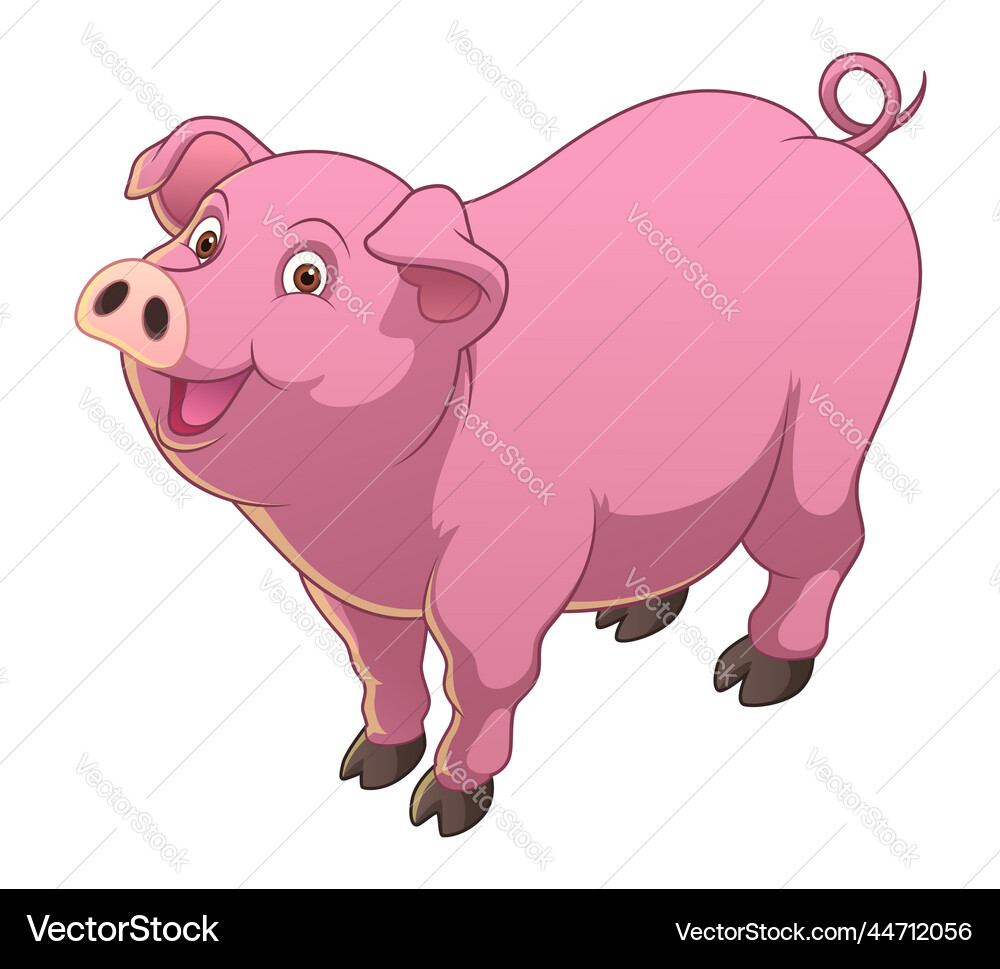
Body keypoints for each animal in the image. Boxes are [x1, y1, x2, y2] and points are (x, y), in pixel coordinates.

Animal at [76, 52, 924, 836]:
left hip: (835, 418)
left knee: (825, 540)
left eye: (309, 275)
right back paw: (629, 621)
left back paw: (751, 678)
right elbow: (378, 660)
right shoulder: (341, 582)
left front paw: (441, 811)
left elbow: (483, 674)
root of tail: (836, 144)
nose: (142, 285)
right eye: (205, 237)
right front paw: (365, 769)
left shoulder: (515, 553)